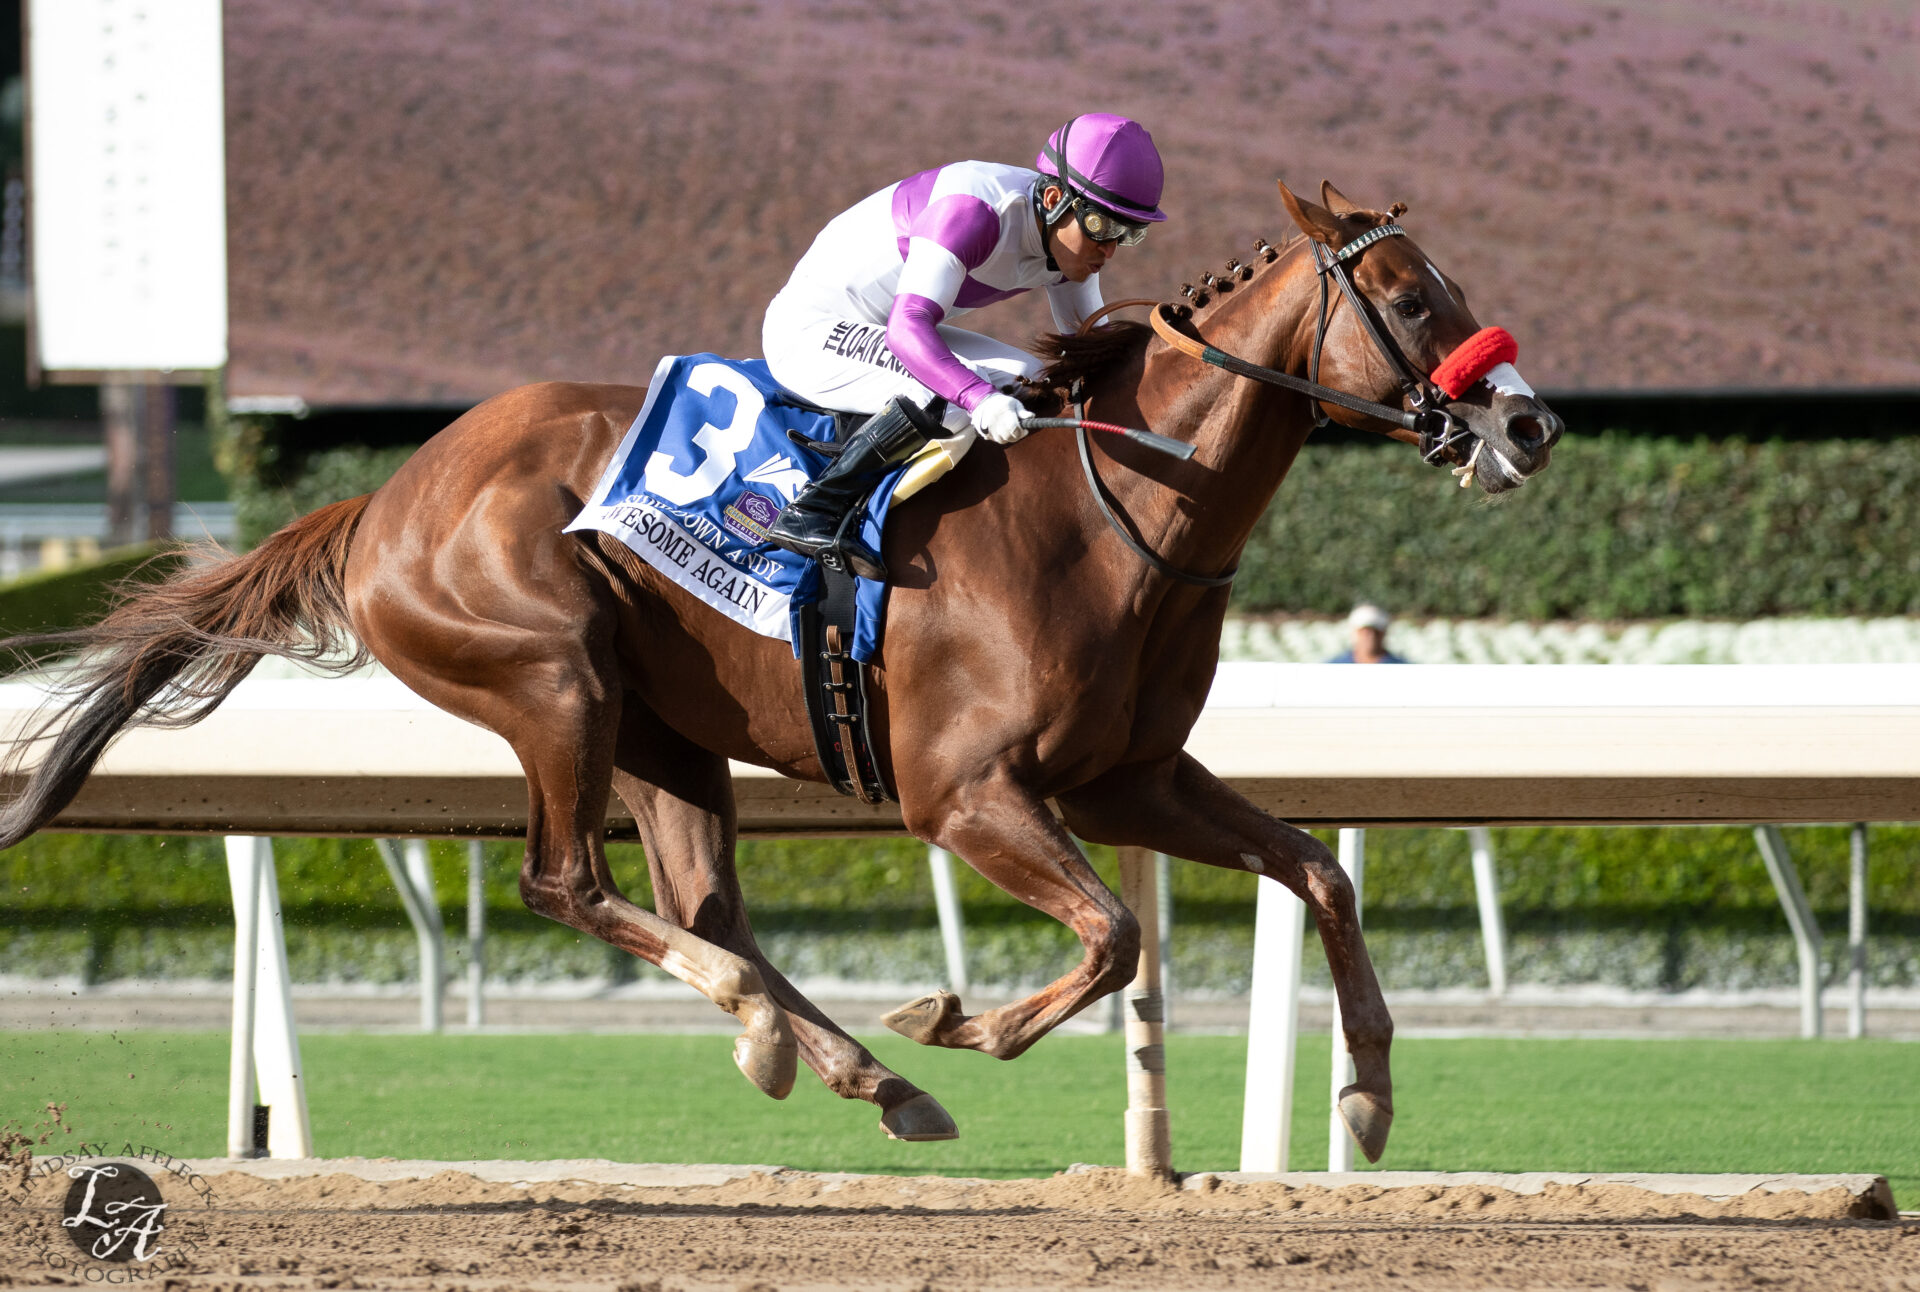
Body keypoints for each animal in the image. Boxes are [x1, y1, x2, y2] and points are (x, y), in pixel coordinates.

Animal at [0, 181, 1561, 1160]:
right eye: (1410, 294)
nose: (1530, 423)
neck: (1120, 506)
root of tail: (382, 500)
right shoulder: (964, 796)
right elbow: (1116, 934)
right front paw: (960, 1015)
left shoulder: (1126, 779)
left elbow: (1319, 871)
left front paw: (1368, 1098)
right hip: (553, 679)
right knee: (568, 881)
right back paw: (811, 1038)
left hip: (667, 733)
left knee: (707, 906)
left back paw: (855, 1071)